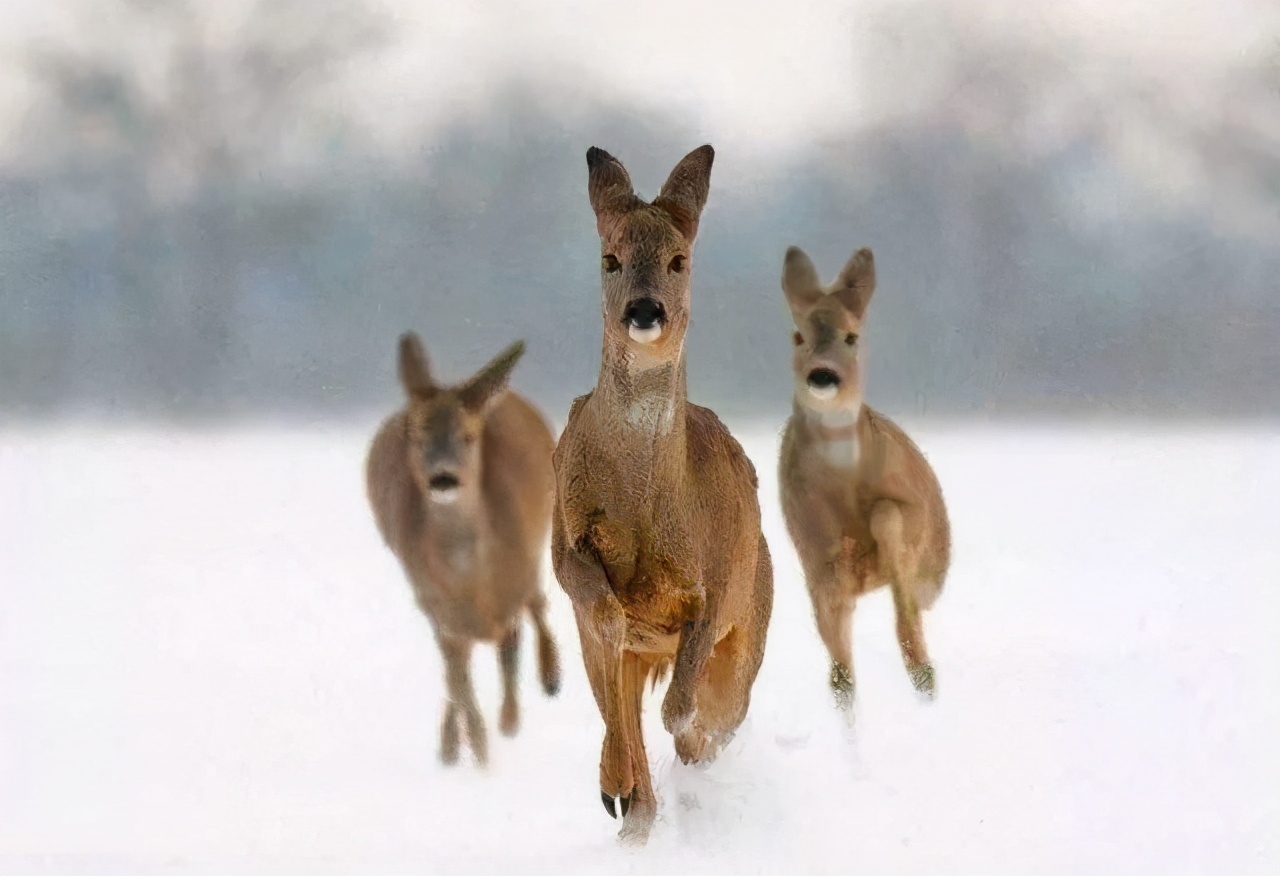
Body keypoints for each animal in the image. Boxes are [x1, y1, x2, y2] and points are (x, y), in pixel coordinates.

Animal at [365, 332, 561, 768]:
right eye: (416, 437)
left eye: (469, 437)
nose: (442, 478)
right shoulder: (436, 606)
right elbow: (459, 682)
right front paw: (475, 750)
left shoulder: (513, 582)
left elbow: (509, 653)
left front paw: (506, 725)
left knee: (538, 605)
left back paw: (551, 678)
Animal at [551, 144, 774, 846]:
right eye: (610, 258)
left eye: (680, 260)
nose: (645, 311)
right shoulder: (565, 546)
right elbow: (607, 620)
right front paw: (619, 787)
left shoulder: (715, 581)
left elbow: (682, 708)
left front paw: (686, 752)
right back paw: (628, 802)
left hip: (754, 616)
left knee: (718, 709)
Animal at [777, 245, 951, 724]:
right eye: (797, 336)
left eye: (852, 338)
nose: (822, 375)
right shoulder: (815, 559)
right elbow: (841, 674)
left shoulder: (911, 512)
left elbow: (888, 514)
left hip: (933, 573)